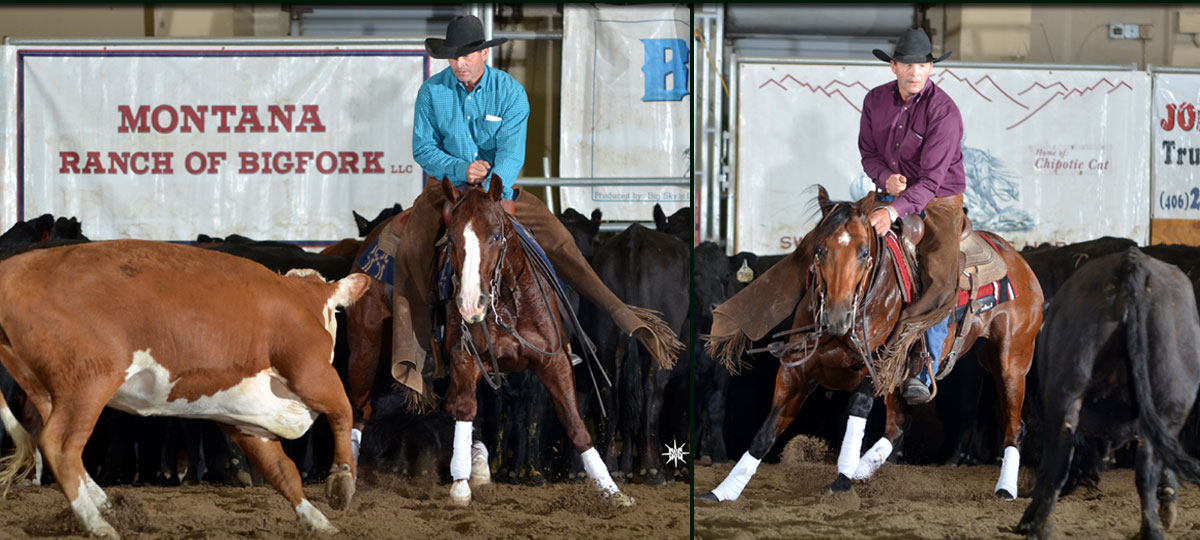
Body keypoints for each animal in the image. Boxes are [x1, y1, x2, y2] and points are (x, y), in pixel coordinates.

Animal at [438, 177, 633, 507]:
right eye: (451, 238)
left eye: (496, 235)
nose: (470, 304)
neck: (508, 304)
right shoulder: (466, 357)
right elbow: (465, 408)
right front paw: (461, 484)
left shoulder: (555, 361)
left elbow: (574, 424)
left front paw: (611, 490)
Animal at [700, 187, 1043, 502]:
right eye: (819, 250)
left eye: (865, 252)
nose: (837, 315)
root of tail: (1018, 260)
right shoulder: (795, 372)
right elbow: (766, 432)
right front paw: (722, 491)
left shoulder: (877, 364)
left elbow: (857, 411)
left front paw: (842, 480)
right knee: (897, 426)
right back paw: (861, 471)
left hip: (1011, 363)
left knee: (1015, 427)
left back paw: (1006, 489)